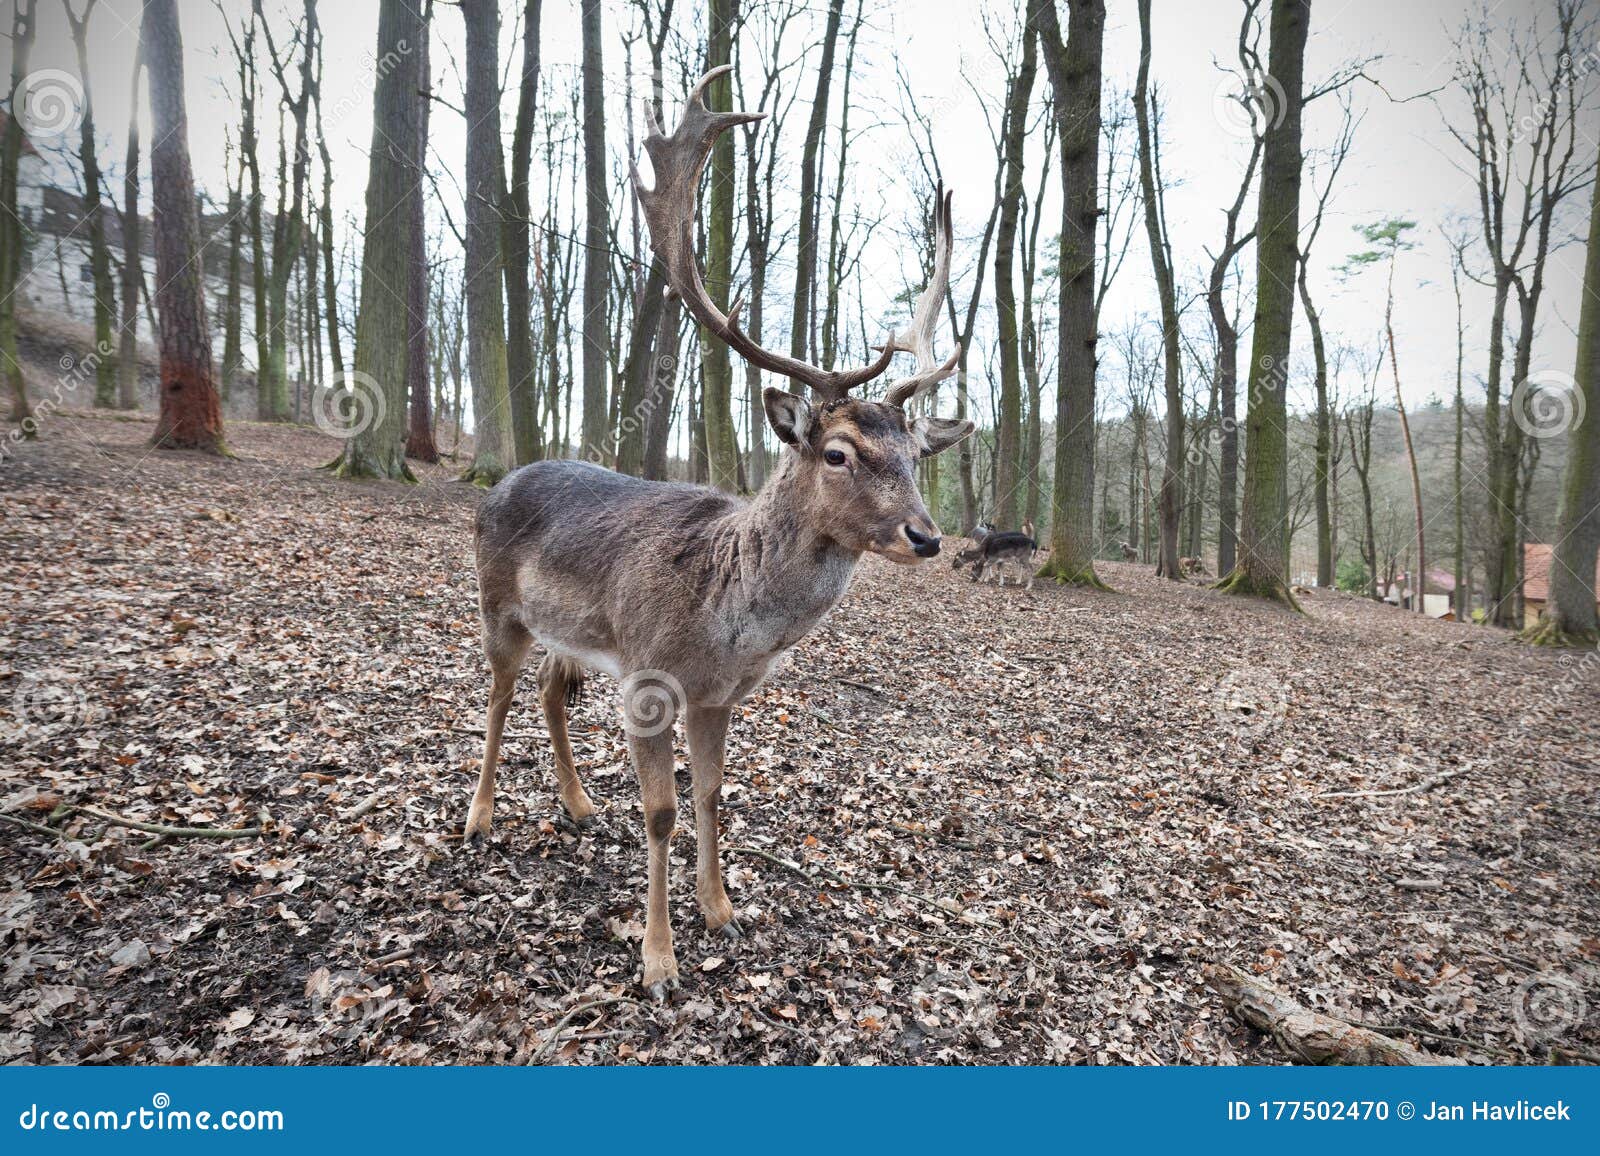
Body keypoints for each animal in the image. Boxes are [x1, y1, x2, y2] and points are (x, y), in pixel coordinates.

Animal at [465, 67, 974, 1000]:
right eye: (838, 452)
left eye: (916, 452)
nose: (926, 536)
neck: (723, 619)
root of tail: (500, 480)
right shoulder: (646, 678)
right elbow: (662, 811)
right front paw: (659, 959)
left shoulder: (717, 696)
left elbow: (709, 797)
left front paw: (721, 911)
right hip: (495, 605)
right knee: (499, 694)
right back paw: (479, 818)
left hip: (570, 631)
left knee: (552, 689)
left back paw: (578, 805)